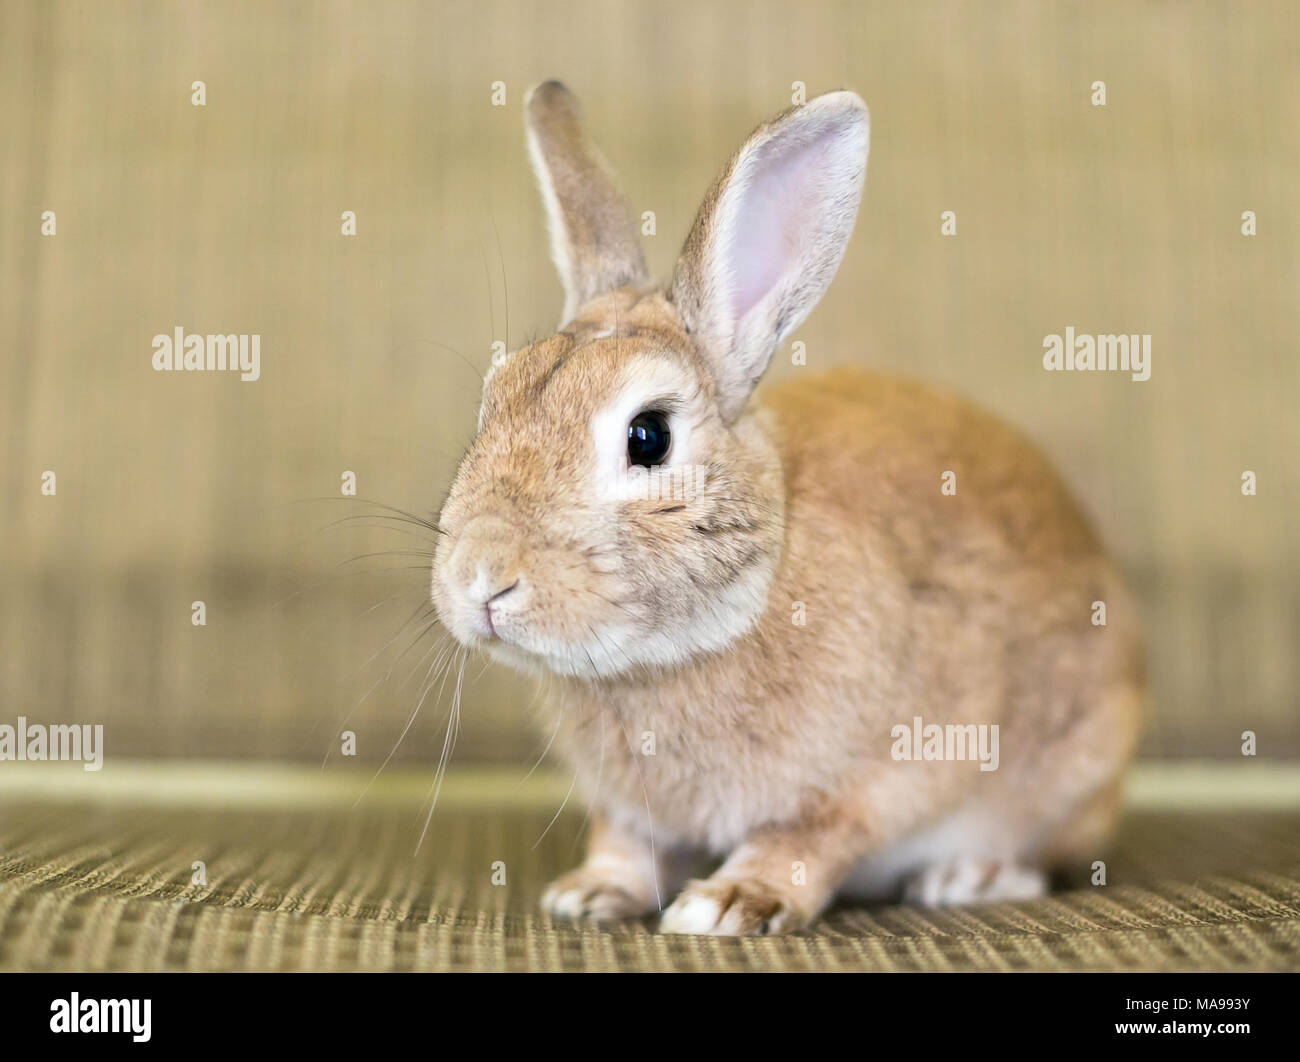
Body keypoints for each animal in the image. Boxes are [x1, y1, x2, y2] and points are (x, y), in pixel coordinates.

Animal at [430, 80, 1144, 936]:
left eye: (649, 436)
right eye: (492, 400)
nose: (480, 577)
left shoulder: (874, 776)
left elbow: (805, 838)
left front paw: (728, 904)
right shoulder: (630, 811)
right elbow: (626, 843)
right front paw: (589, 894)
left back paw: (970, 877)